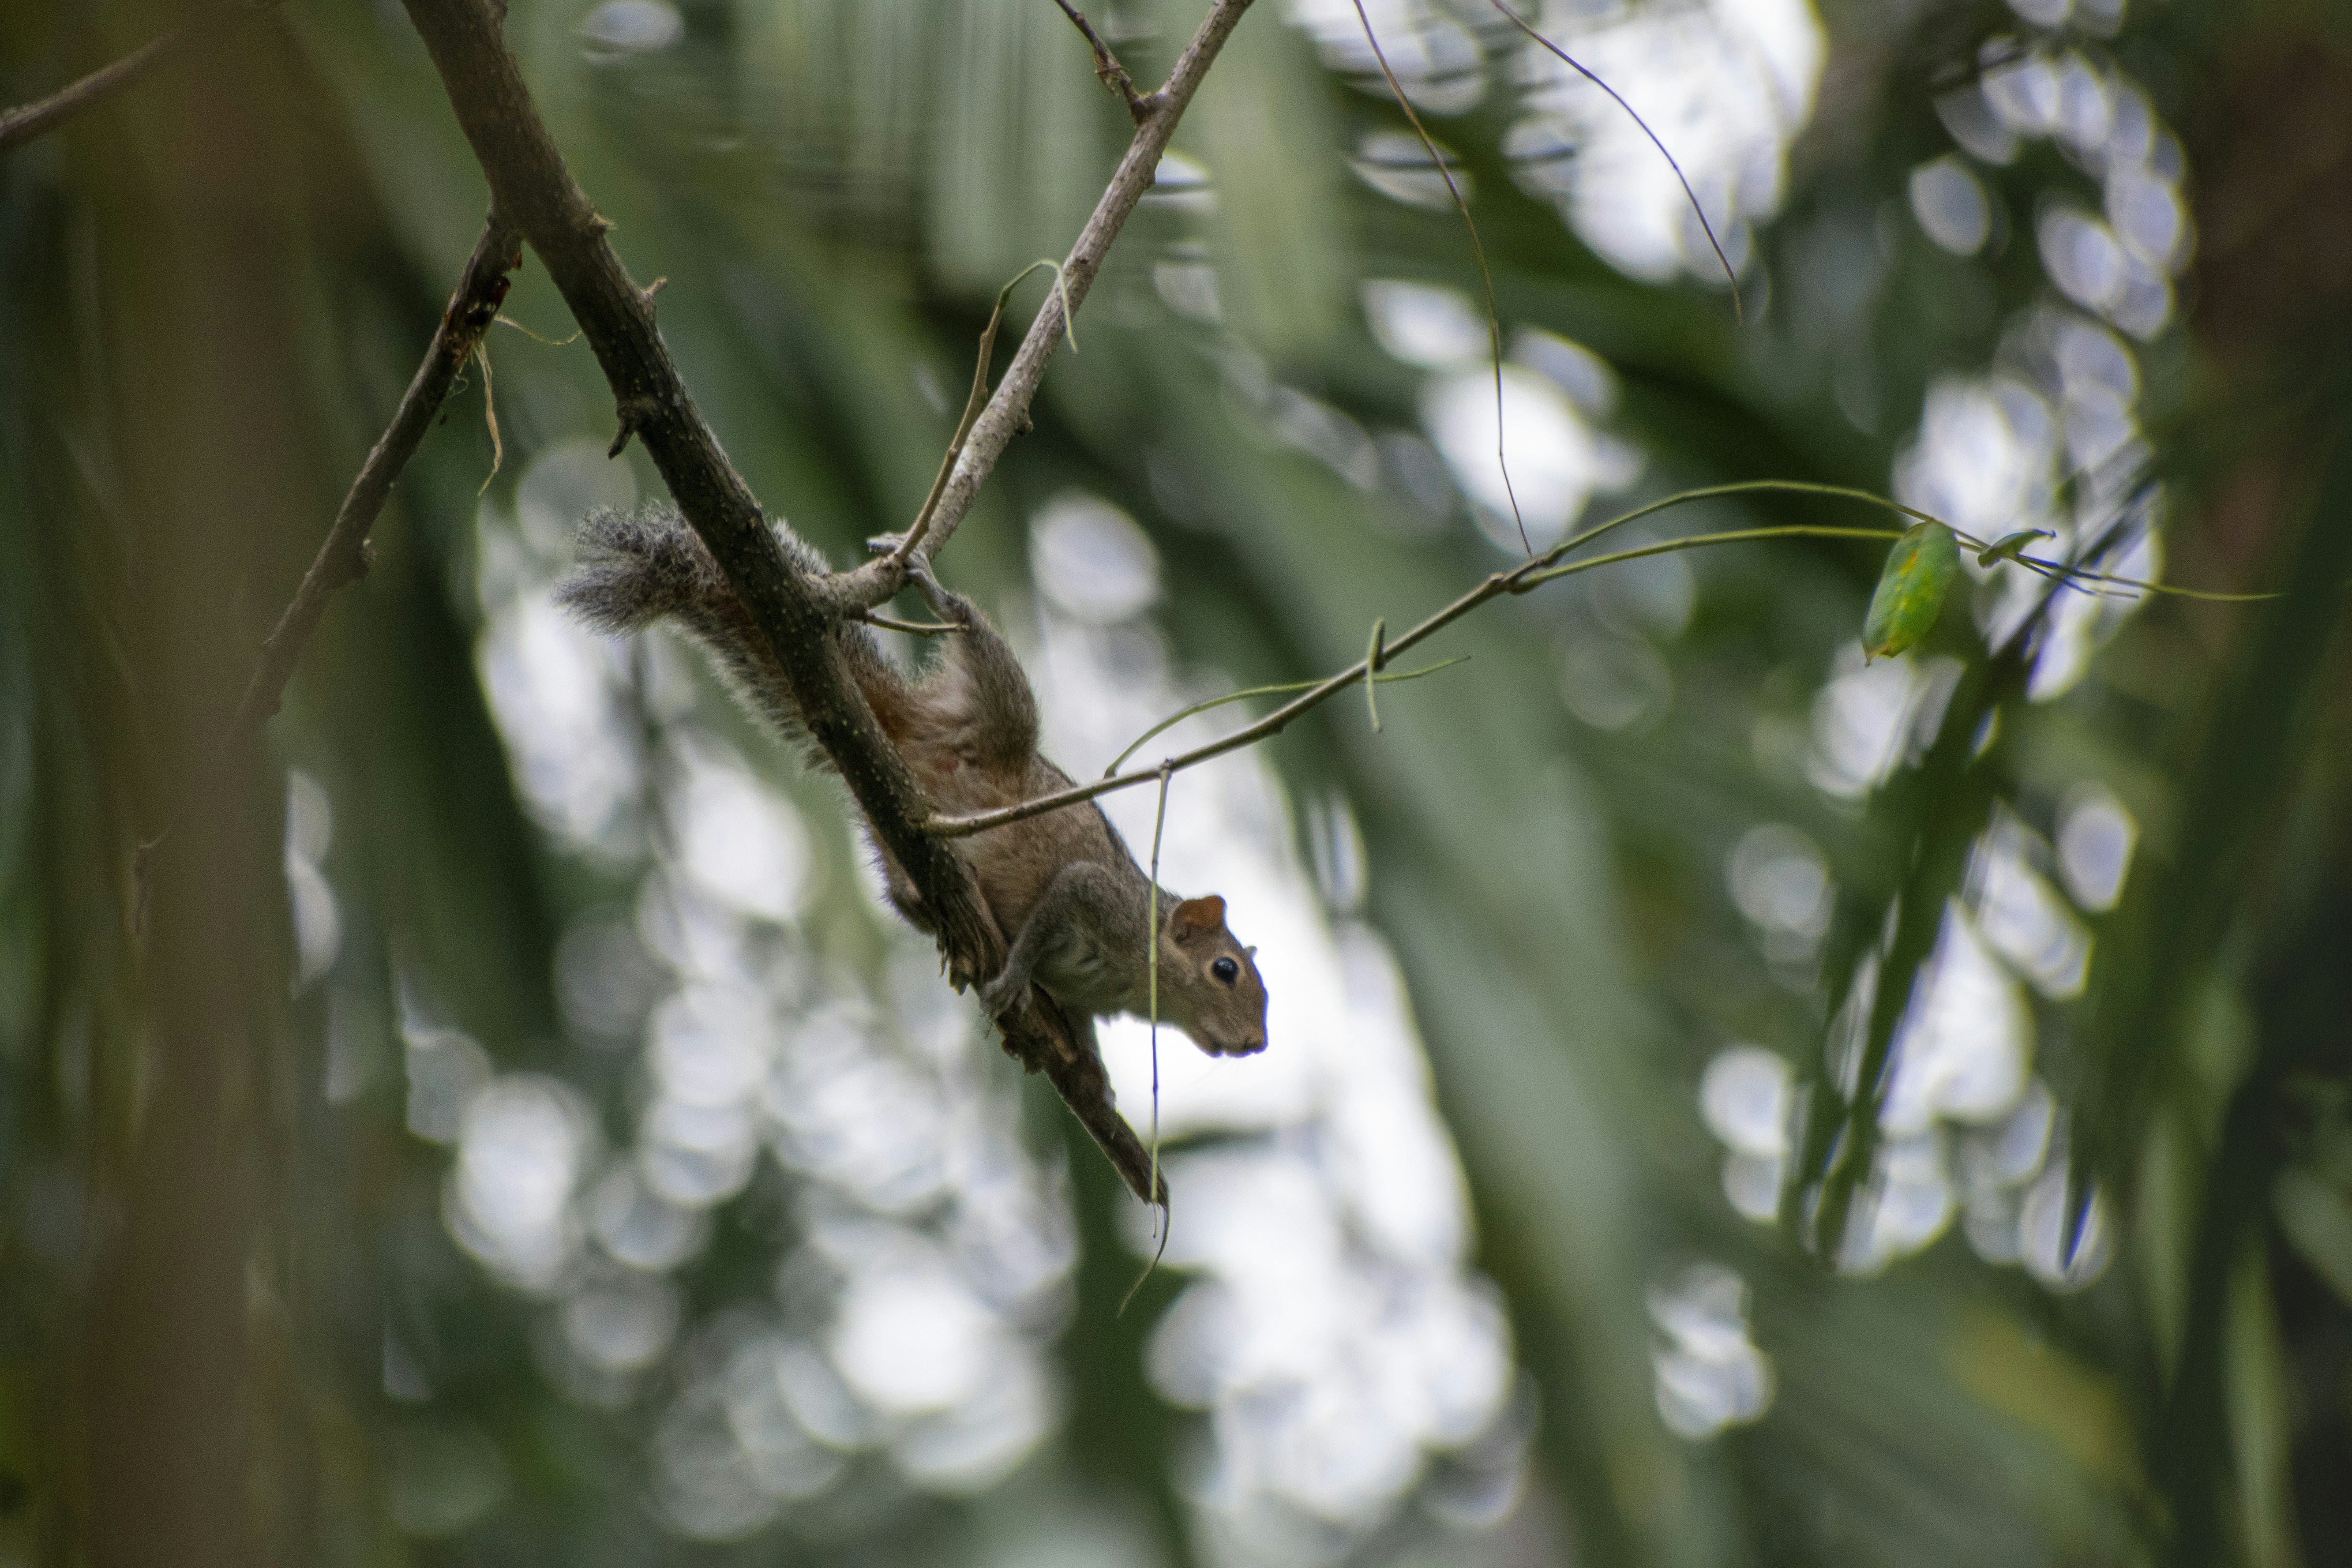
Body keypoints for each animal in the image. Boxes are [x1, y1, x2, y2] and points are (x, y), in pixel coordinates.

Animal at [556, 503, 1269, 1060]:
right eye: (1226, 970)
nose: (1257, 1043)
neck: (1136, 973)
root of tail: (909, 738)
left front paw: (1094, 1069)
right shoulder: (1098, 899)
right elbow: (1057, 907)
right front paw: (1014, 978)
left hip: (895, 834)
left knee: (900, 889)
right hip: (1004, 715)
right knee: (978, 644)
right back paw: (932, 585)